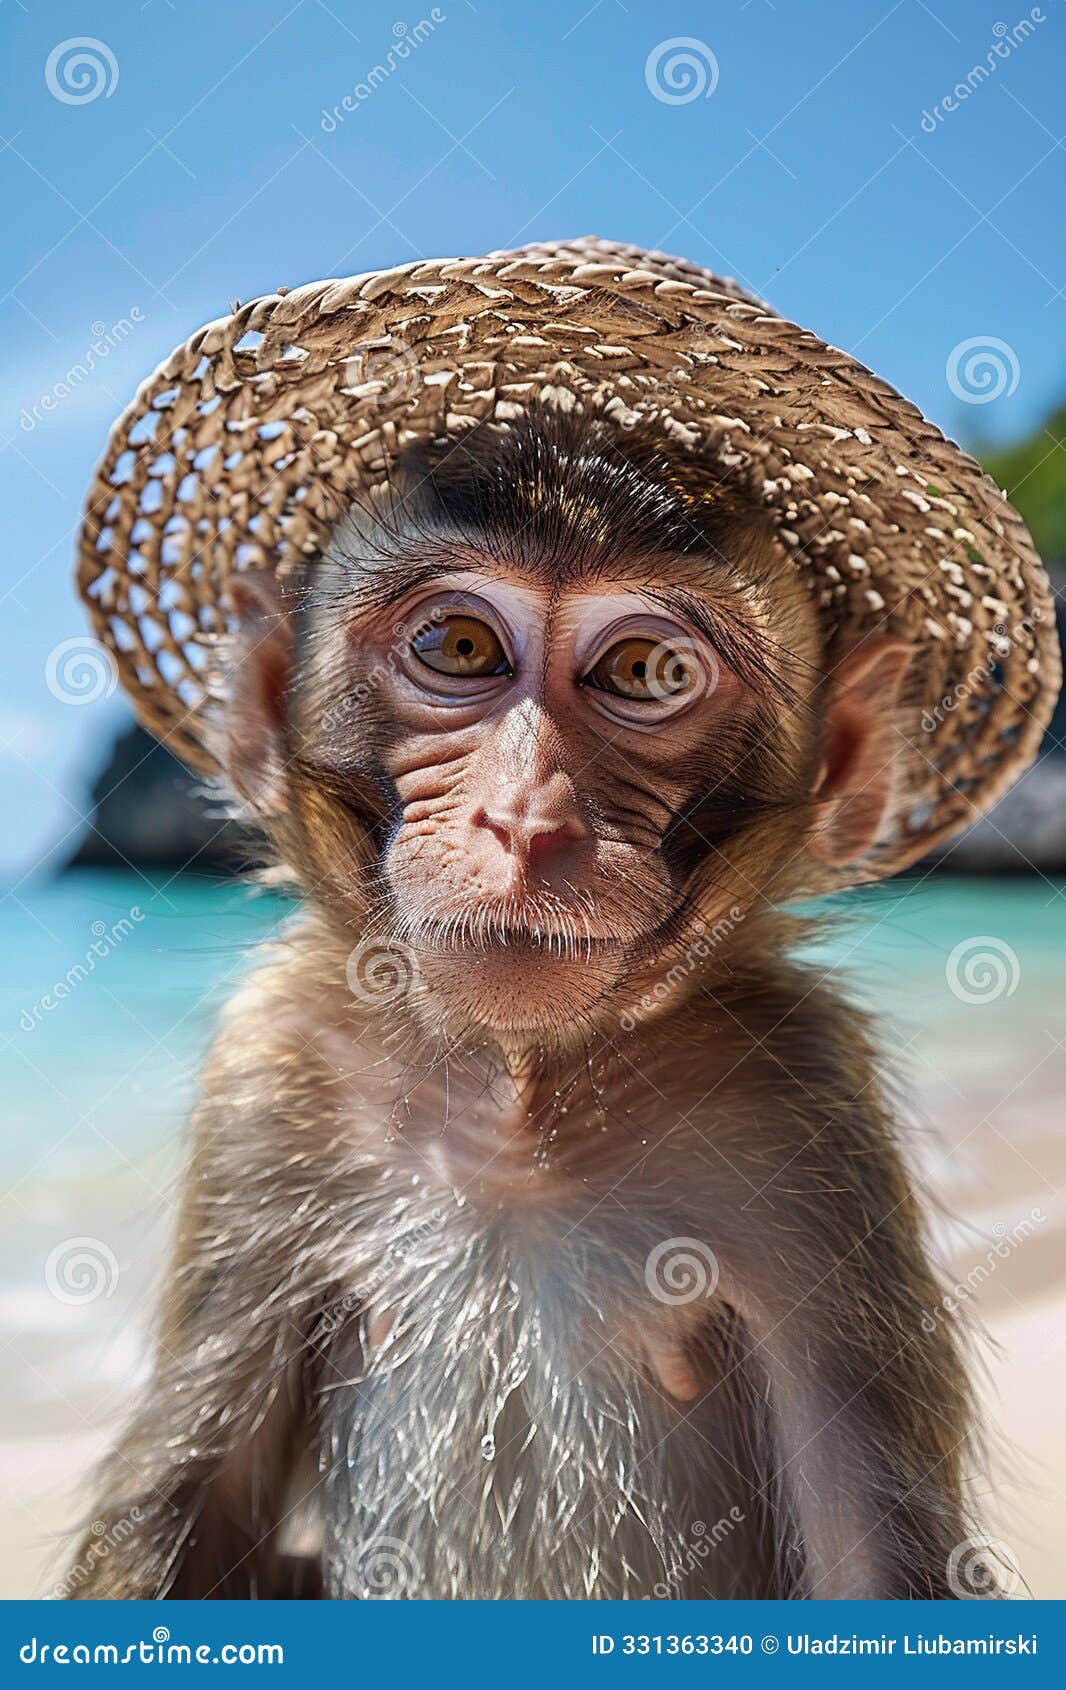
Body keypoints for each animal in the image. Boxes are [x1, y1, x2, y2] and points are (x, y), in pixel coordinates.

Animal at [65, 407, 985, 1600]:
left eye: (647, 669)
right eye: (459, 646)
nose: (525, 819)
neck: (516, 1092)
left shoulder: (802, 1094)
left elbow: (871, 1551)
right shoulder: (273, 1064)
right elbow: (196, 1503)